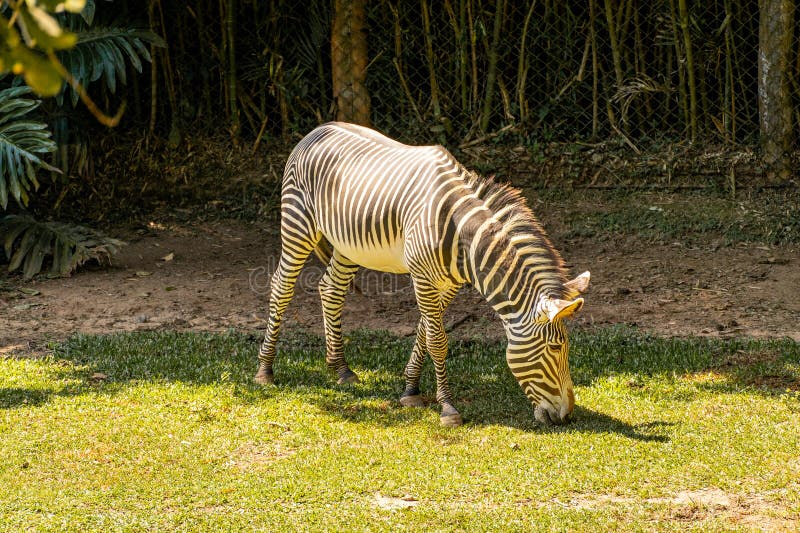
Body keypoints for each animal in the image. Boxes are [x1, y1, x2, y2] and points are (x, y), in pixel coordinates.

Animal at [255, 122, 590, 427]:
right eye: (557, 347)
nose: (566, 416)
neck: (462, 236)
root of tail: (319, 128)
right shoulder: (422, 277)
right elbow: (437, 340)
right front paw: (448, 408)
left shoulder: (448, 283)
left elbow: (424, 333)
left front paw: (410, 390)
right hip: (298, 223)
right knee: (281, 287)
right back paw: (265, 370)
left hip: (348, 244)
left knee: (331, 290)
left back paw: (341, 369)